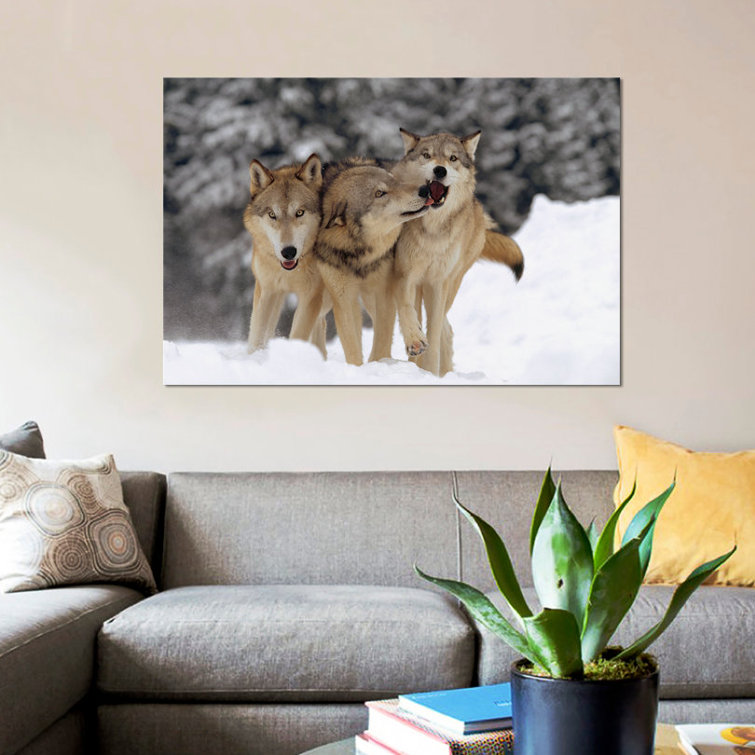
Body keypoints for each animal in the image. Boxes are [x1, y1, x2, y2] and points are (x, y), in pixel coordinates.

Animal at [242, 154, 330, 355]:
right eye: (272, 215)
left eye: (300, 212)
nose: (288, 252)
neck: (289, 271)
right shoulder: (267, 290)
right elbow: (257, 335)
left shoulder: (310, 296)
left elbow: (298, 334)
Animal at [314, 161, 429, 366]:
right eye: (379, 193)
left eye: (394, 180)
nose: (424, 189)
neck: (360, 255)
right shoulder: (343, 299)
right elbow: (352, 346)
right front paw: (357, 368)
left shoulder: (382, 291)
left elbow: (383, 337)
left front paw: (381, 362)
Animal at [393, 129, 524, 376]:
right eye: (427, 155)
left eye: (452, 158)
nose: (439, 170)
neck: (432, 231)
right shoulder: (406, 274)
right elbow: (407, 311)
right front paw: (415, 347)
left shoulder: (438, 282)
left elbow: (433, 335)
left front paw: (429, 372)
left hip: (451, 284)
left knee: (445, 328)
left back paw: (442, 371)